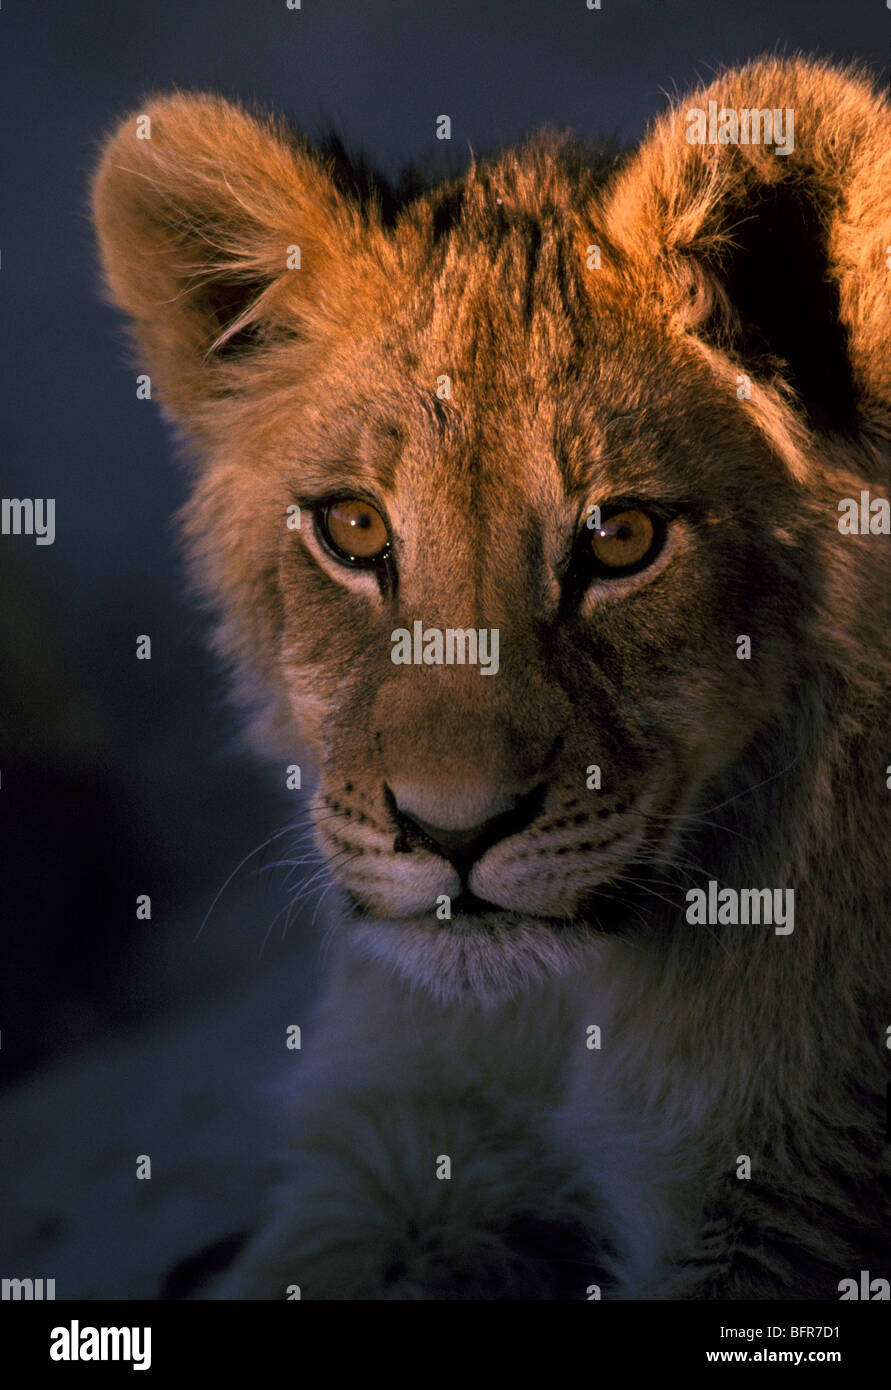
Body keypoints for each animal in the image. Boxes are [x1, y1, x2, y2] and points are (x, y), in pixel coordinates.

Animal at [92, 57, 891, 1299]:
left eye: (621, 537)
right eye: (355, 528)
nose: (451, 833)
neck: (558, 1012)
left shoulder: (787, 1186)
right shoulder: (403, 1144)